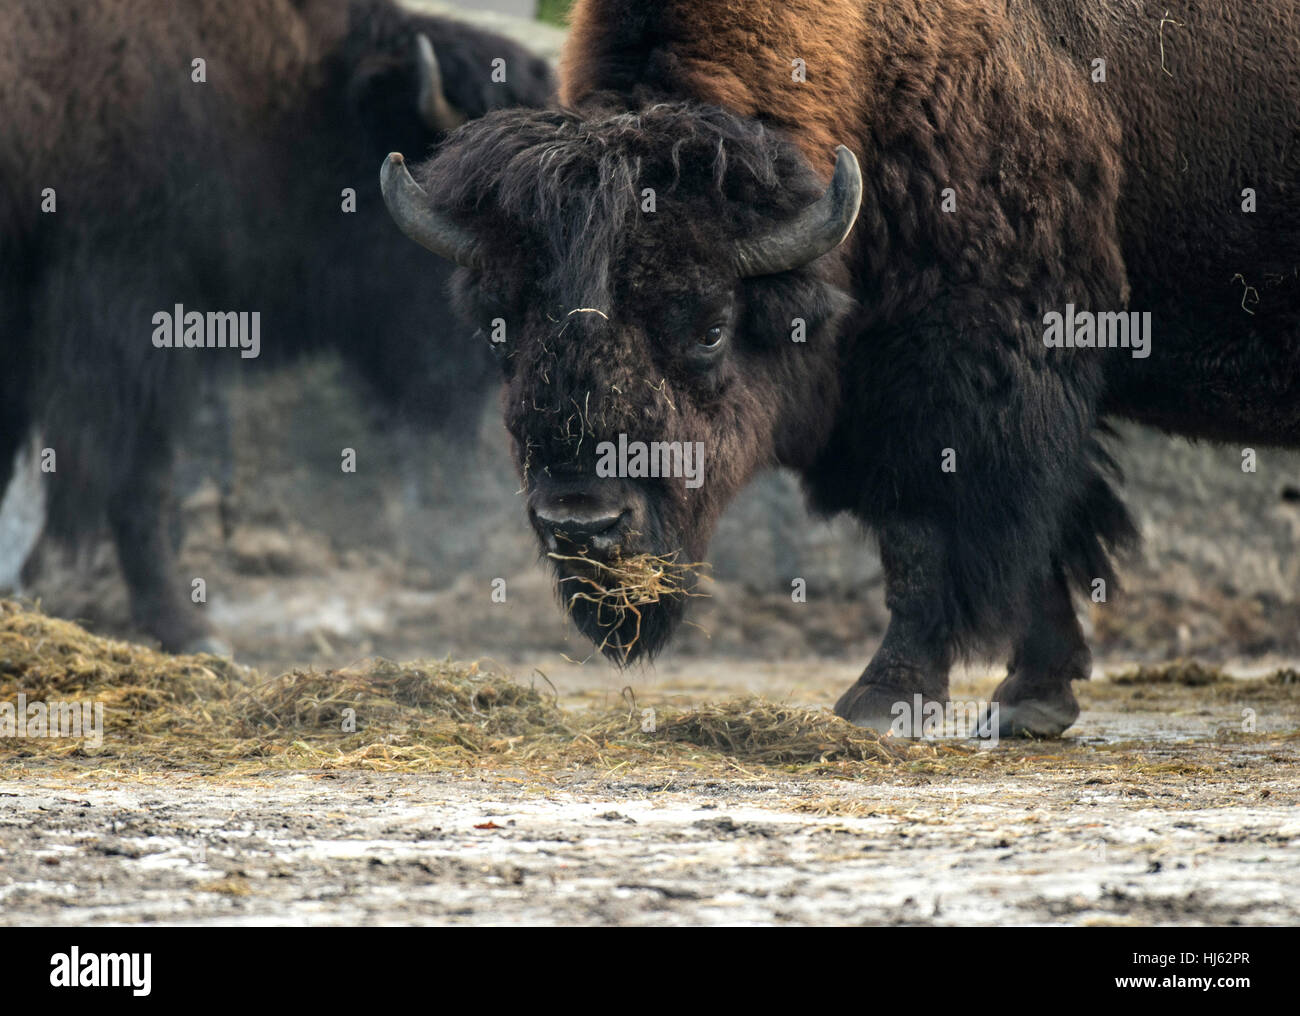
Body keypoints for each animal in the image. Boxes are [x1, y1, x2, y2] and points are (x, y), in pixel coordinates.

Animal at [383, 0, 1300, 736]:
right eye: (500, 324)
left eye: (711, 326)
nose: (582, 524)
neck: (874, 61)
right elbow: (1036, 534)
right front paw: (1031, 700)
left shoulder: (966, 380)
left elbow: (932, 535)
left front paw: (883, 701)